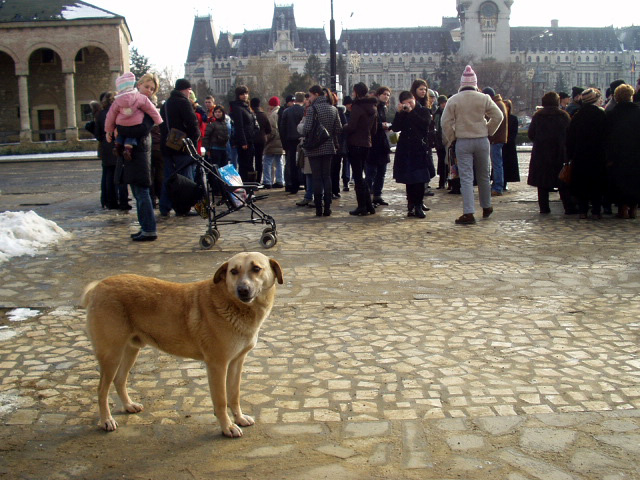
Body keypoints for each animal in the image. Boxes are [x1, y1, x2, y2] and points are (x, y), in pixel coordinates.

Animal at [80, 253, 282, 436]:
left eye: (256, 268)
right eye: (233, 271)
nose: (243, 290)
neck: (232, 303)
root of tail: (97, 287)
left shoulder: (236, 362)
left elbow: (234, 394)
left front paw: (239, 418)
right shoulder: (217, 365)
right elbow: (221, 400)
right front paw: (228, 427)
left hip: (131, 350)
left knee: (119, 380)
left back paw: (129, 405)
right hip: (111, 355)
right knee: (101, 390)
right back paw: (106, 420)